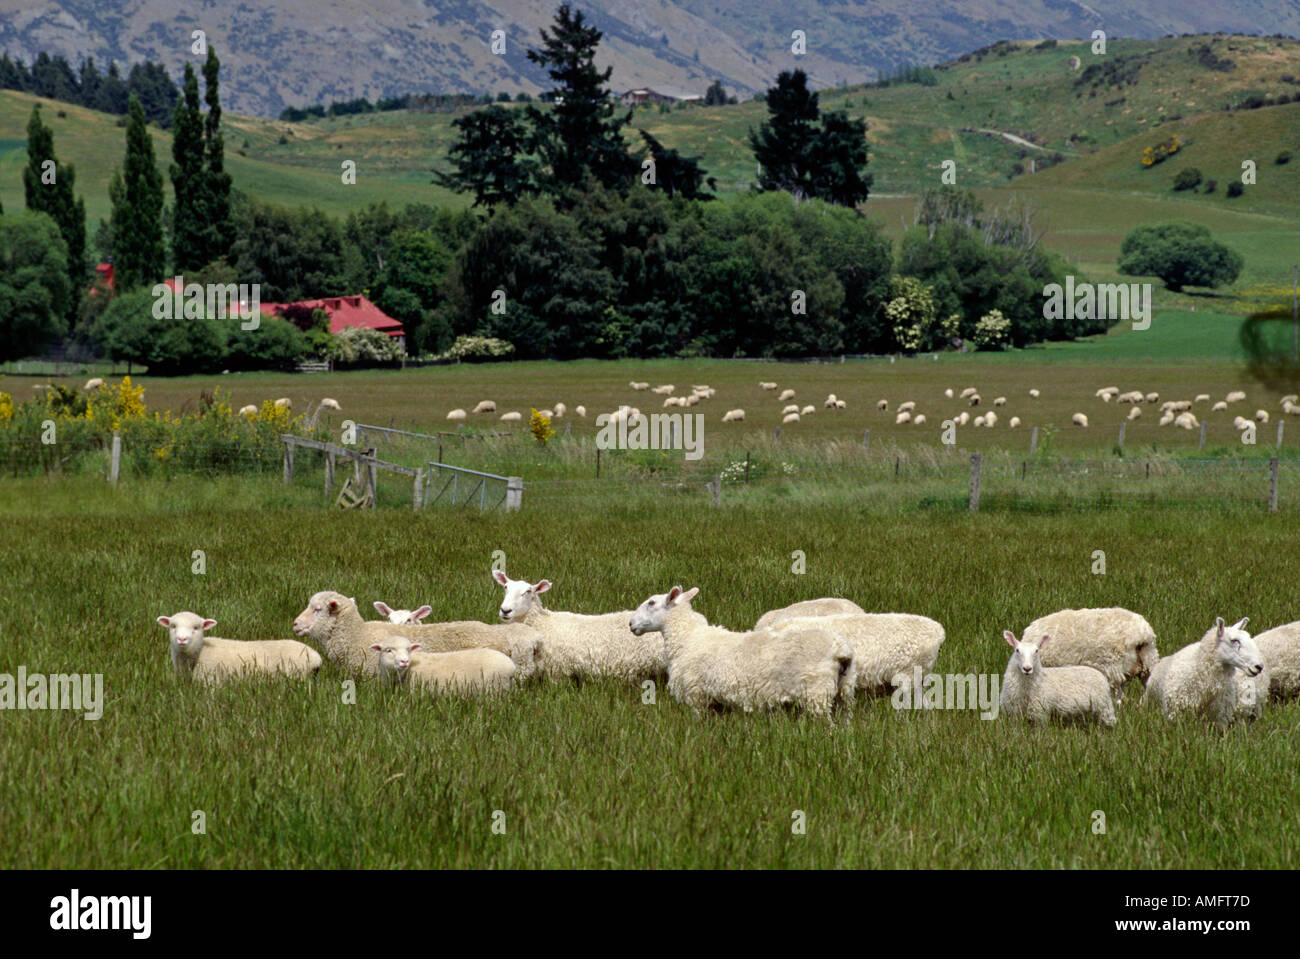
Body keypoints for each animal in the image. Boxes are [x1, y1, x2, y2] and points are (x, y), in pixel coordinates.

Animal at [629, 586, 855, 720]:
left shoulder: (696, 695)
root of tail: (840, 649)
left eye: (651, 603)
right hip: (845, 690)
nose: (631, 624)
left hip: (817, 692)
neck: (687, 638)